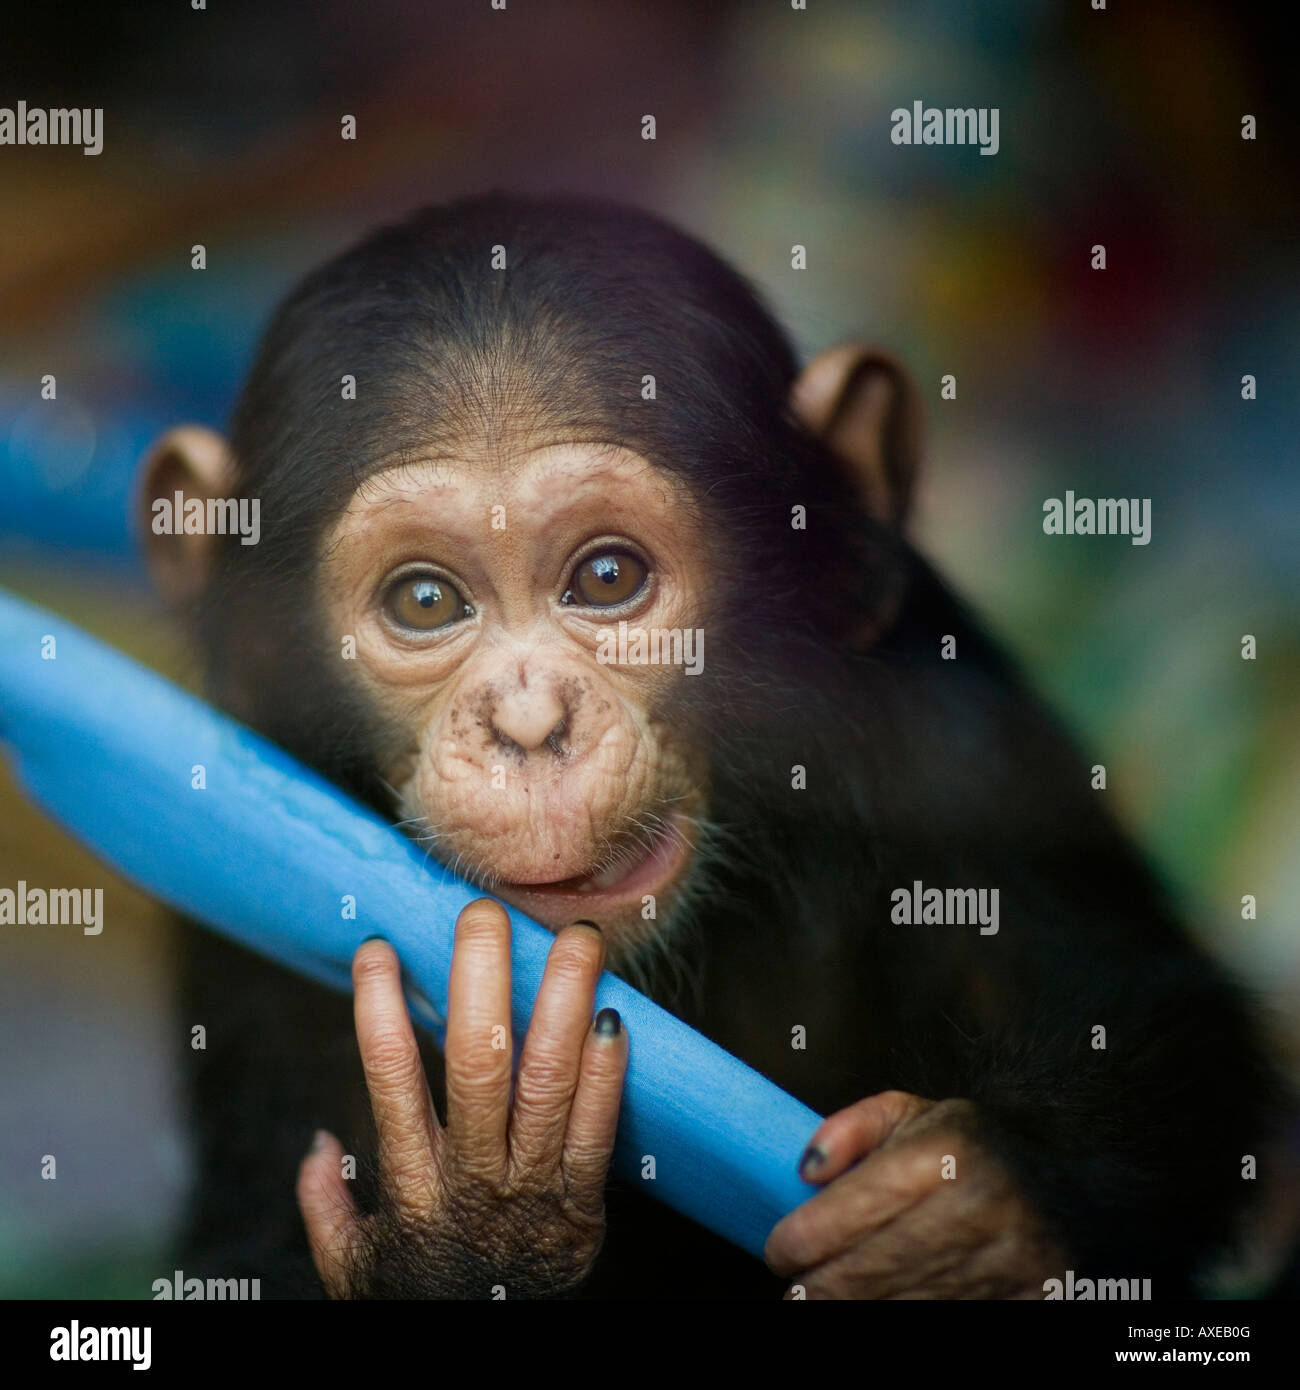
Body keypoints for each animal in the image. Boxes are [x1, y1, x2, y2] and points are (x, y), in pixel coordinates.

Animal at [138, 192, 1276, 1299]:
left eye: (607, 577)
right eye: (424, 601)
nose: (529, 726)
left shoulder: (949, 733)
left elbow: (1143, 1012)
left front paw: (967, 1208)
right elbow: (251, 1248)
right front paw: (473, 1219)